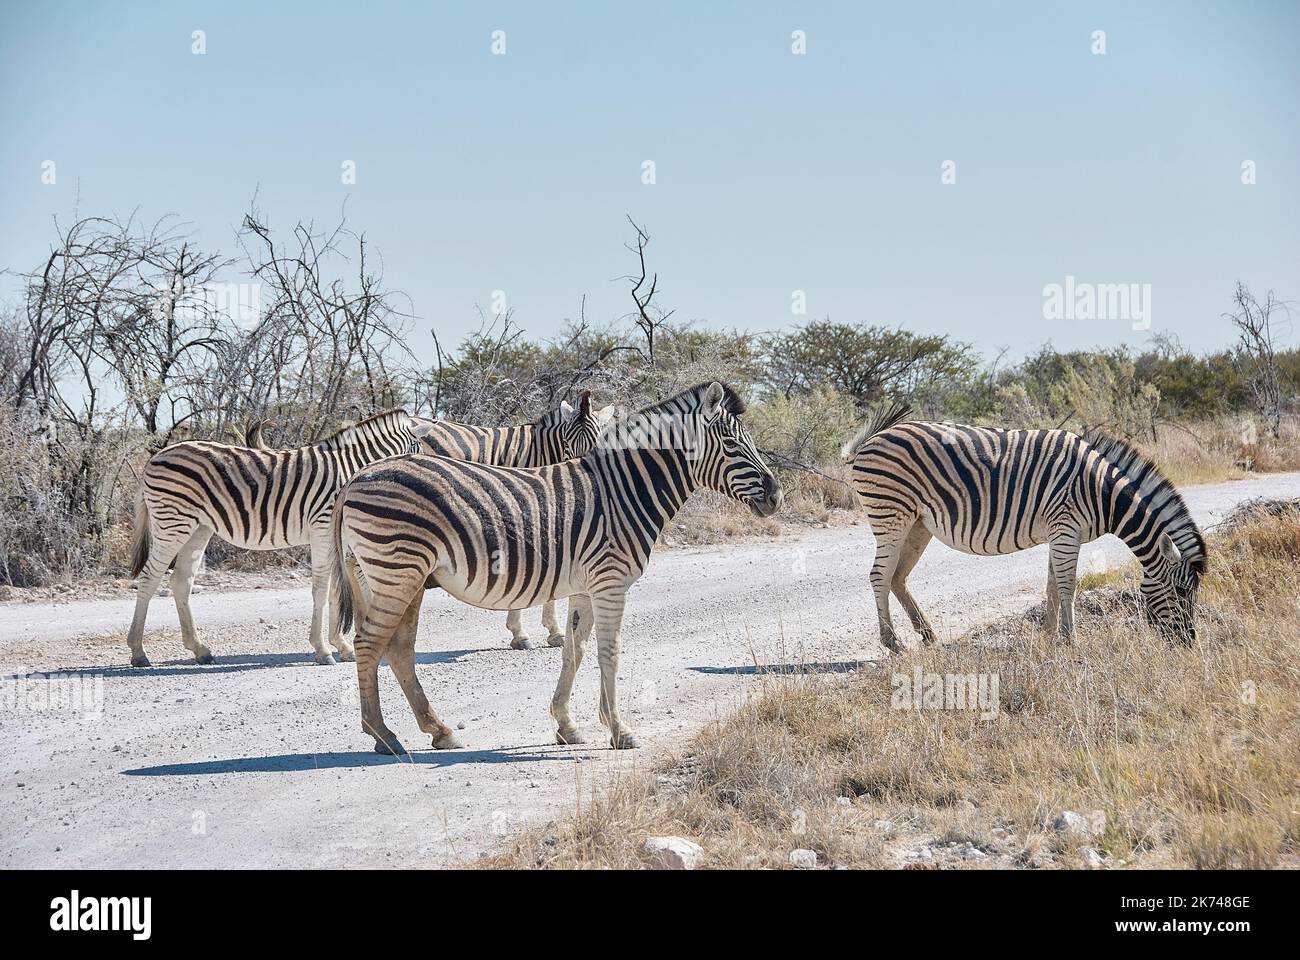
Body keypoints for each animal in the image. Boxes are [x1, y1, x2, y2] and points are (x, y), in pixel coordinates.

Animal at [125, 409, 419, 668]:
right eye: (417, 450)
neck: (350, 471)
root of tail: (156, 456)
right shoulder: (323, 527)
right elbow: (322, 588)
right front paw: (323, 650)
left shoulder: (338, 534)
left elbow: (338, 586)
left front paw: (344, 646)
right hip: (172, 522)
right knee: (149, 577)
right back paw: (138, 652)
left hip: (198, 527)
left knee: (181, 581)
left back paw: (200, 650)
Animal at [843, 404, 1206, 651]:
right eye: (1181, 591)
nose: (1189, 643)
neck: (1101, 491)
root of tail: (868, 441)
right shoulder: (1066, 530)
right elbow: (1067, 586)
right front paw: (1070, 639)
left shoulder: (1061, 533)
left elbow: (1052, 586)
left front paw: (1049, 636)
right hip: (891, 515)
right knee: (879, 576)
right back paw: (893, 643)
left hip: (918, 524)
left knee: (897, 577)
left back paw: (928, 636)